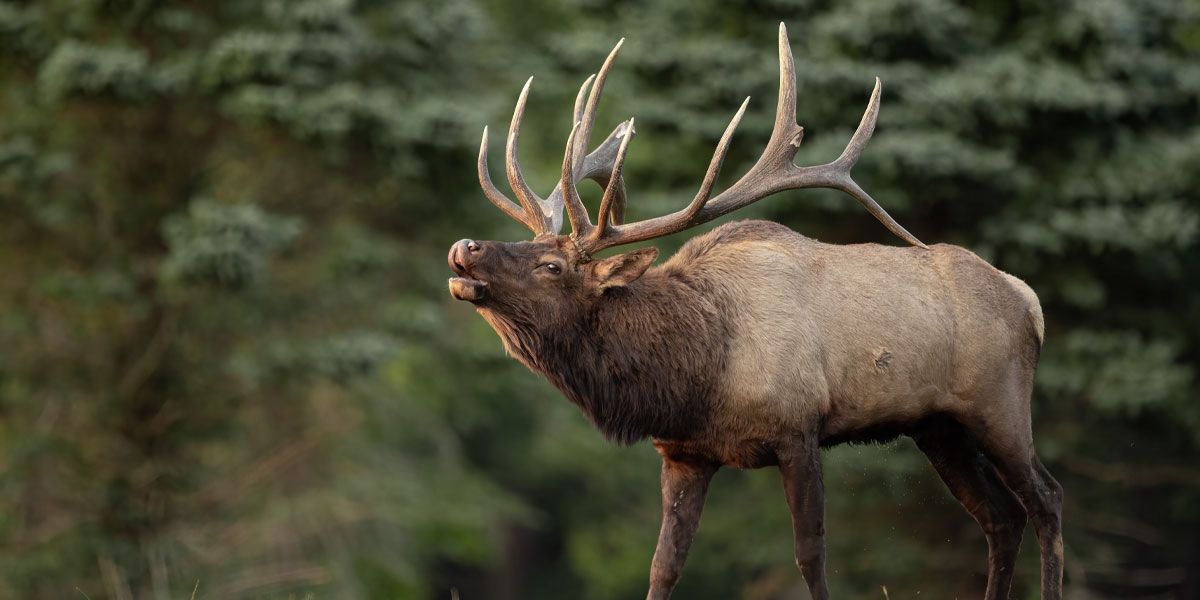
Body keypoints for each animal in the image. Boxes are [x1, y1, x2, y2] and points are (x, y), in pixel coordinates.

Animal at [447, 24, 1063, 600]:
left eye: (552, 265)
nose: (465, 247)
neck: (698, 372)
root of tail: (1028, 300)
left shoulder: (799, 428)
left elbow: (810, 555)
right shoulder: (684, 455)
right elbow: (663, 568)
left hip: (998, 406)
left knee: (1046, 499)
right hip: (938, 428)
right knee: (1001, 519)